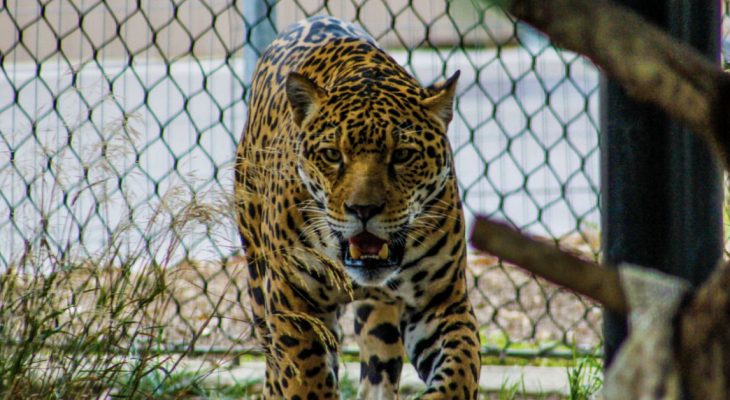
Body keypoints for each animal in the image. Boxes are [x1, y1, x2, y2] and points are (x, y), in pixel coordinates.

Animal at [235, 15, 481, 399]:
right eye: (332, 155)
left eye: (403, 155)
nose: (363, 210)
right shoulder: (293, 302)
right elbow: (306, 380)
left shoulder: (440, 302)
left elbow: (460, 371)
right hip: (259, 280)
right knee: (275, 368)